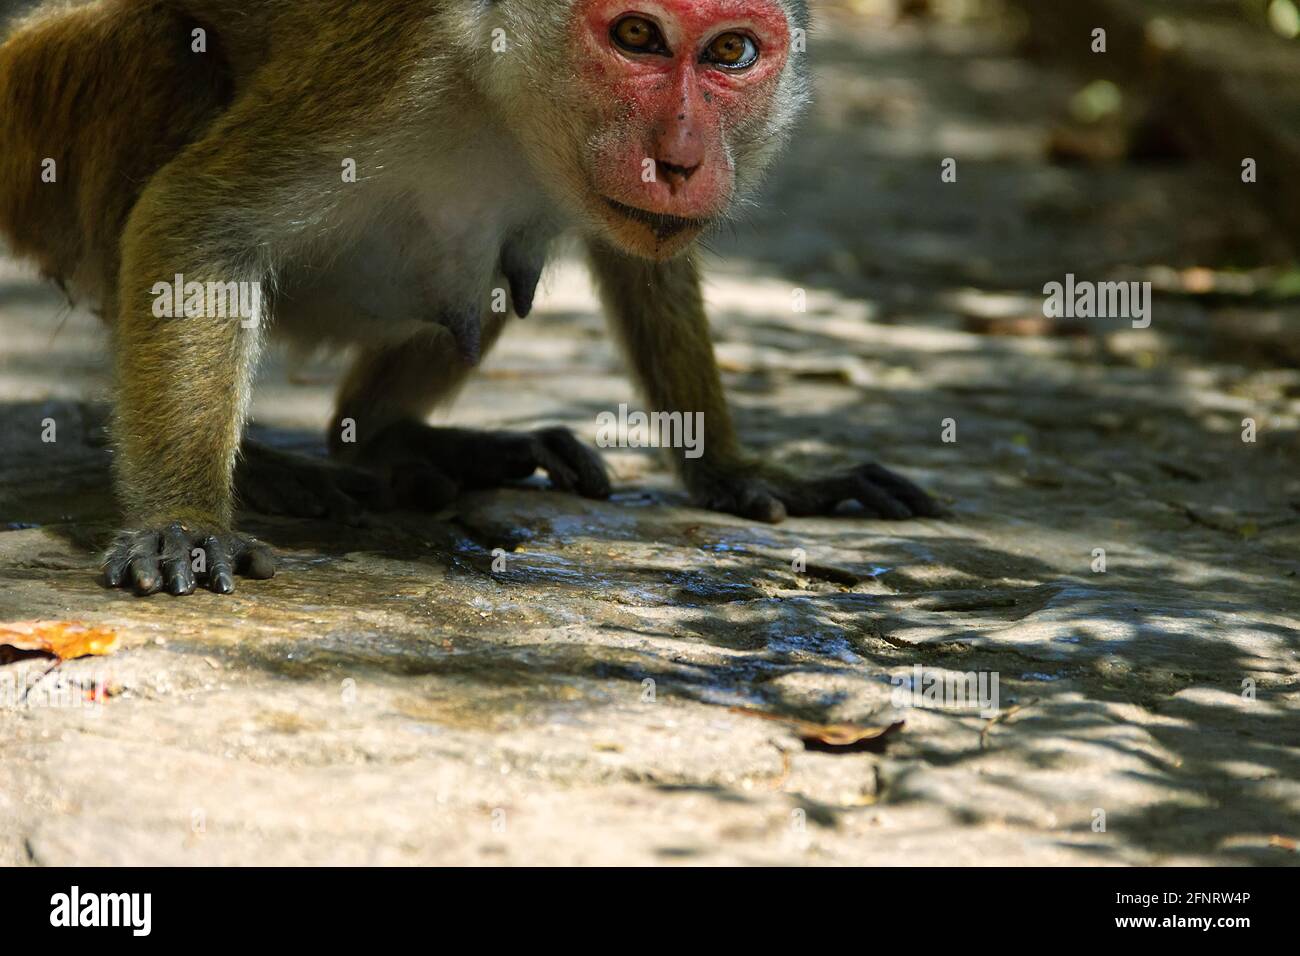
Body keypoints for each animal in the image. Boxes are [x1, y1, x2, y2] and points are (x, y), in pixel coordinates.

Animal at [0, 0, 941, 597]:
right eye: (637, 35)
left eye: (731, 53)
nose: (678, 157)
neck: (507, 91)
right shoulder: (394, 63)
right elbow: (200, 218)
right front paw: (187, 517)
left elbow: (643, 258)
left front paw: (740, 471)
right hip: (32, 125)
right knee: (162, 46)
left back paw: (391, 434)